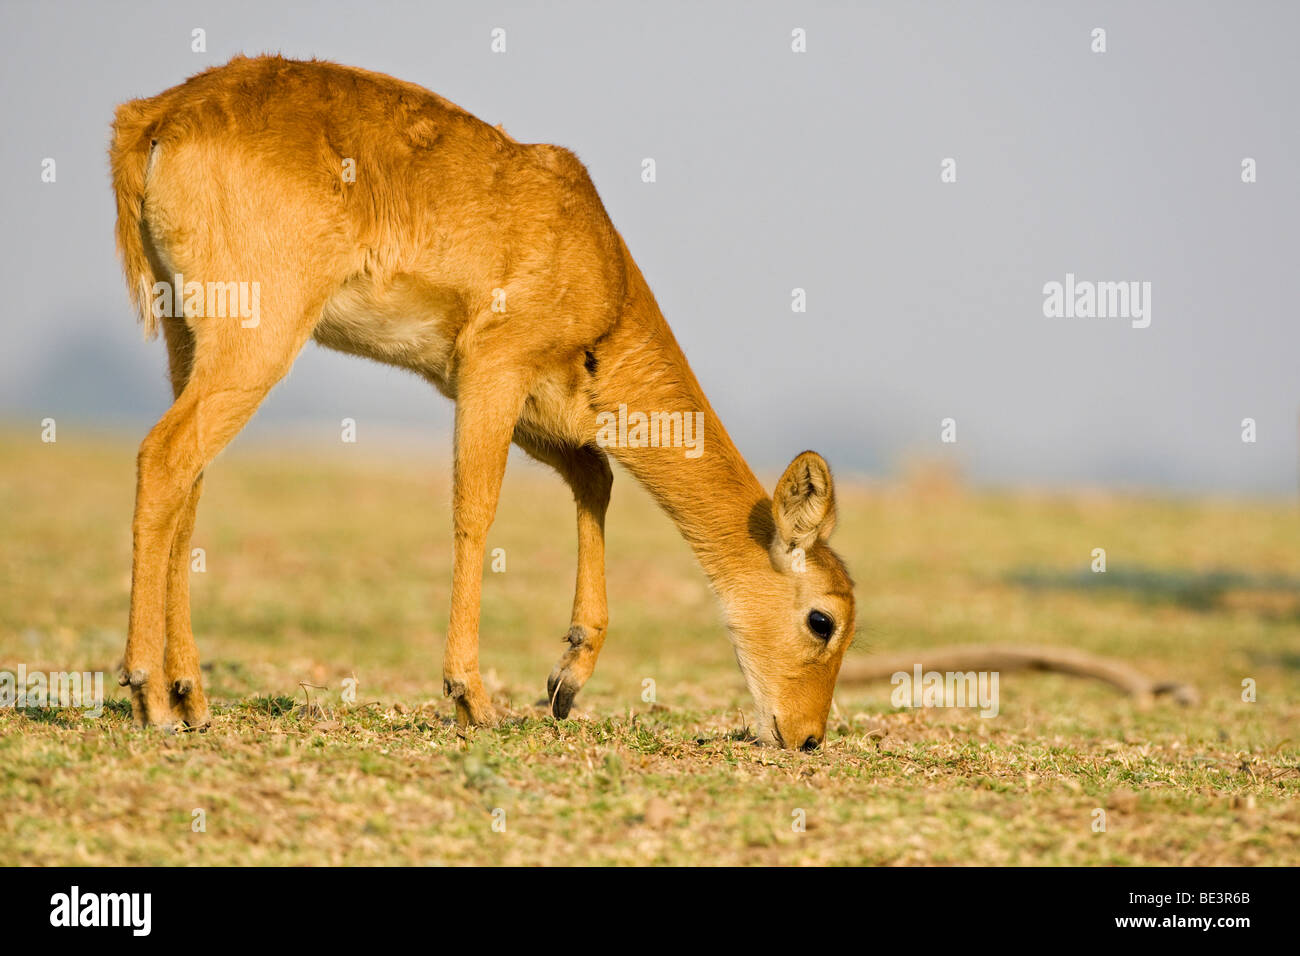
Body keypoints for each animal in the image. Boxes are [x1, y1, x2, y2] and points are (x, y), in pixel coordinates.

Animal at [109, 55, 856, 749]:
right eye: (823, 619)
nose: (807, 736)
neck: (601, 272)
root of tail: (155, 116)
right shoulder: (495, 371)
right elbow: (476, 512)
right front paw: (472, 698)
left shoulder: (511, 401)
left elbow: (596, 477)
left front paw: (565, 681)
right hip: (256, 343)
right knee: (164, 456)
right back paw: (149, 694)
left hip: (187, 339)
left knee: (188, 485)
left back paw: (190, 696)